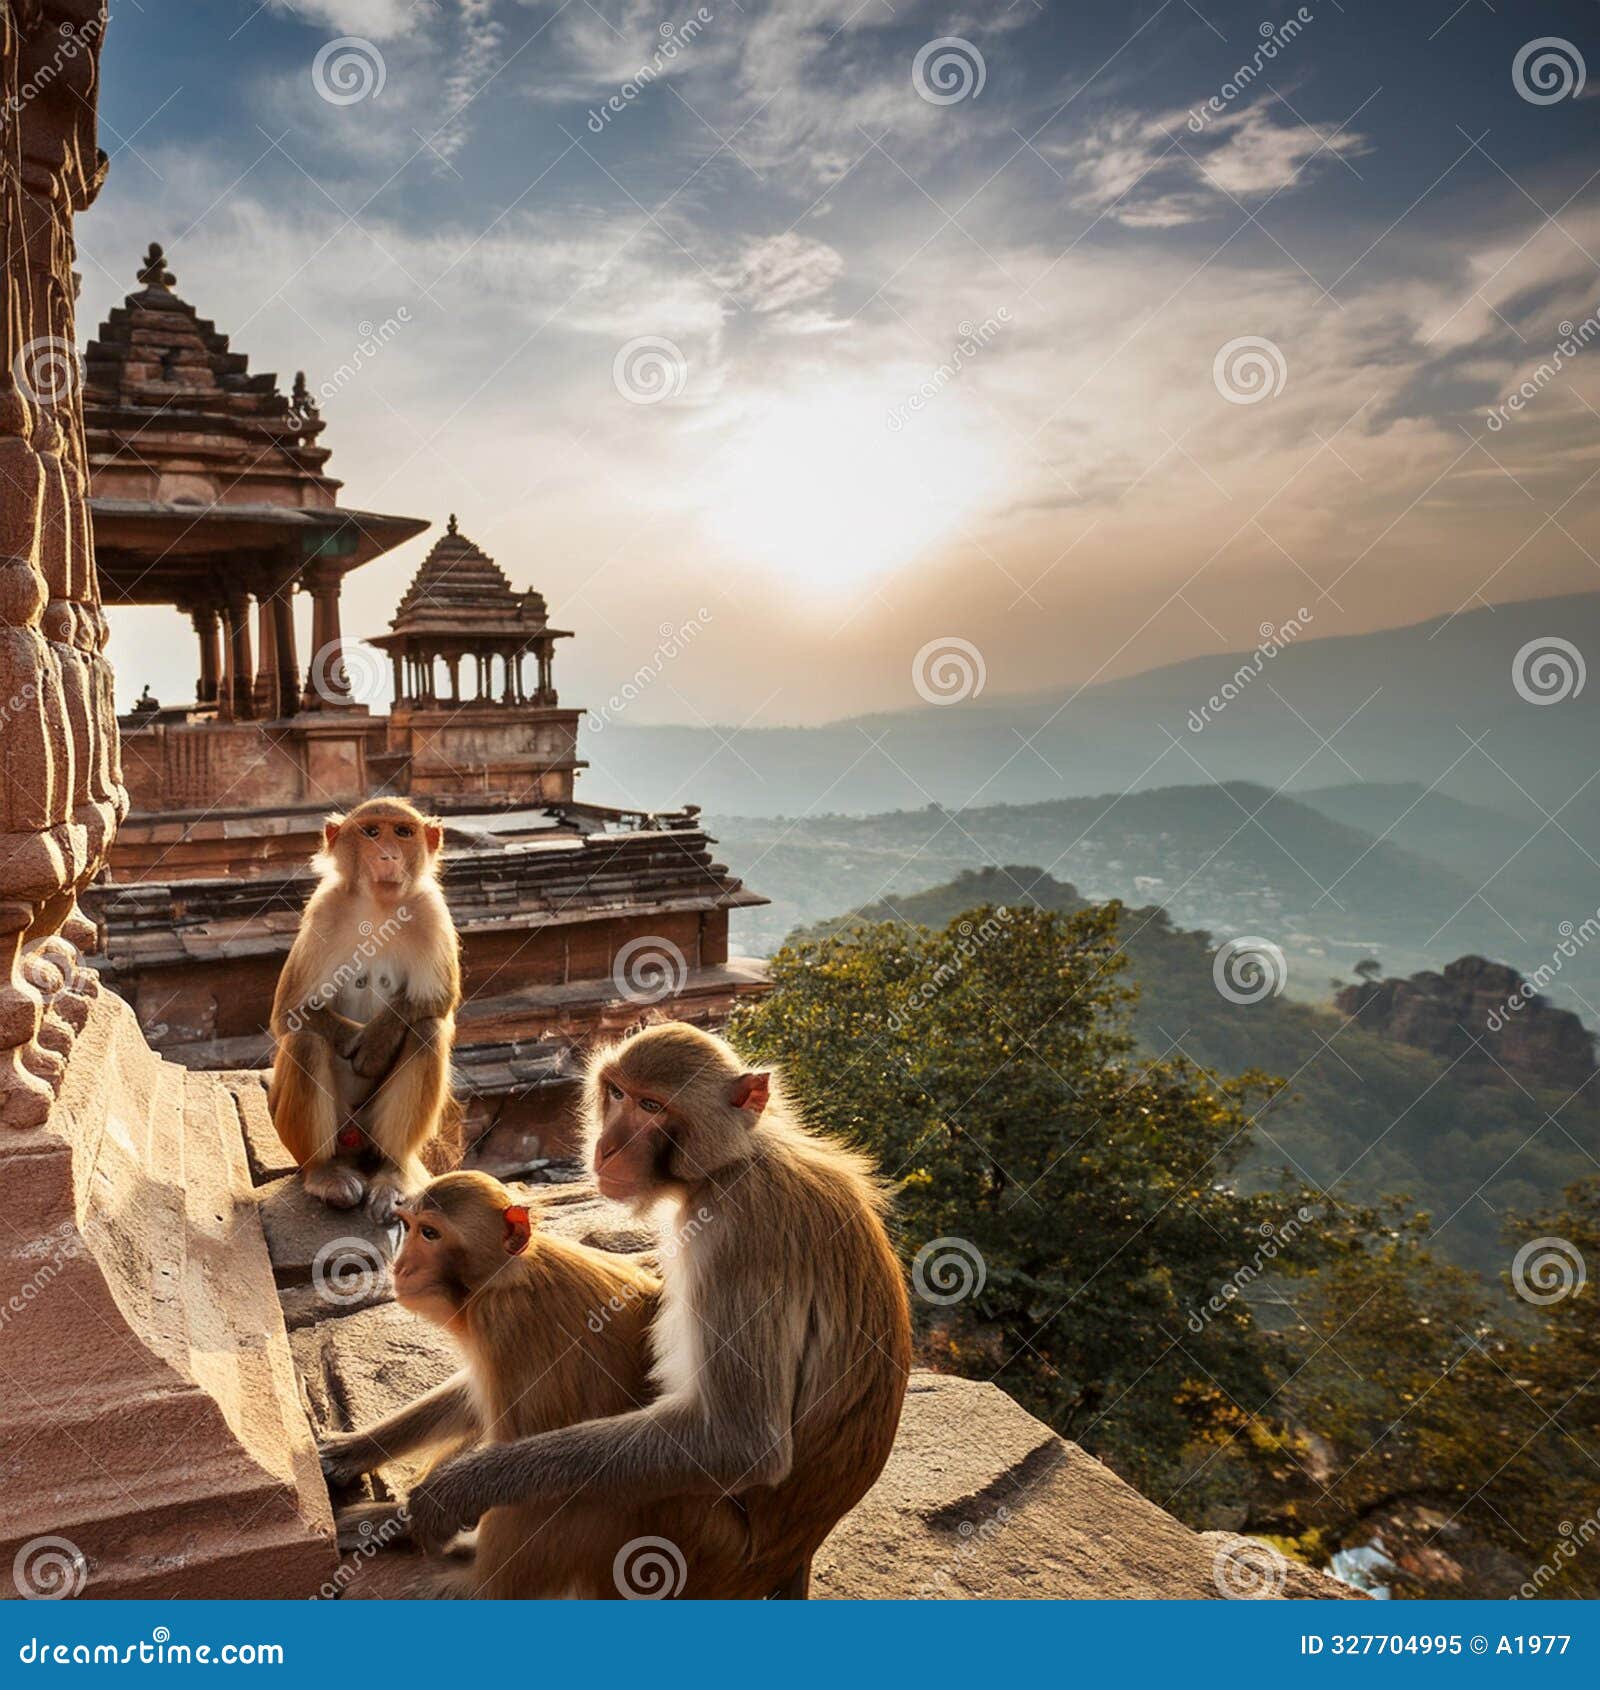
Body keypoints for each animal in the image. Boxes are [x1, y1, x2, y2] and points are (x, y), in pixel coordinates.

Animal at [268, 797, 460, 1223]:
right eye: (371, 832)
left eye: (402, 832)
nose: (387, 855)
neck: (379, 906)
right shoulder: (324, 909)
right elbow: (291, 1011)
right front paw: (361, 1042)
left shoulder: (431, 910)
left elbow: (438, 1001)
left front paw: (376, 1043)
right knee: (305, 1042)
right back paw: (325, 1173)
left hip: (371, 1128)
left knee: (428, 1031)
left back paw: (392, 1171)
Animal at [319, 1170, 751, 1597]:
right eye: (408, 1228)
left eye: (430, 1233)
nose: (400, 1267)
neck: (507, 1277)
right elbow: (474, 1399)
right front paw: (354, 1450)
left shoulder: (500, 1321)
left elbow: (518, 1462)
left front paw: (414, 1520)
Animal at [402, 1022, 913, 1599]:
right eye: (617, 1094)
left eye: (651, 1105)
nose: (606, 1147)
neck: (731, 1163)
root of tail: (795, 1554)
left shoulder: (734, 1227)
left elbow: (741, 1442)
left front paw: (463, 1486)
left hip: (698, 1546)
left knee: (595, 1487)